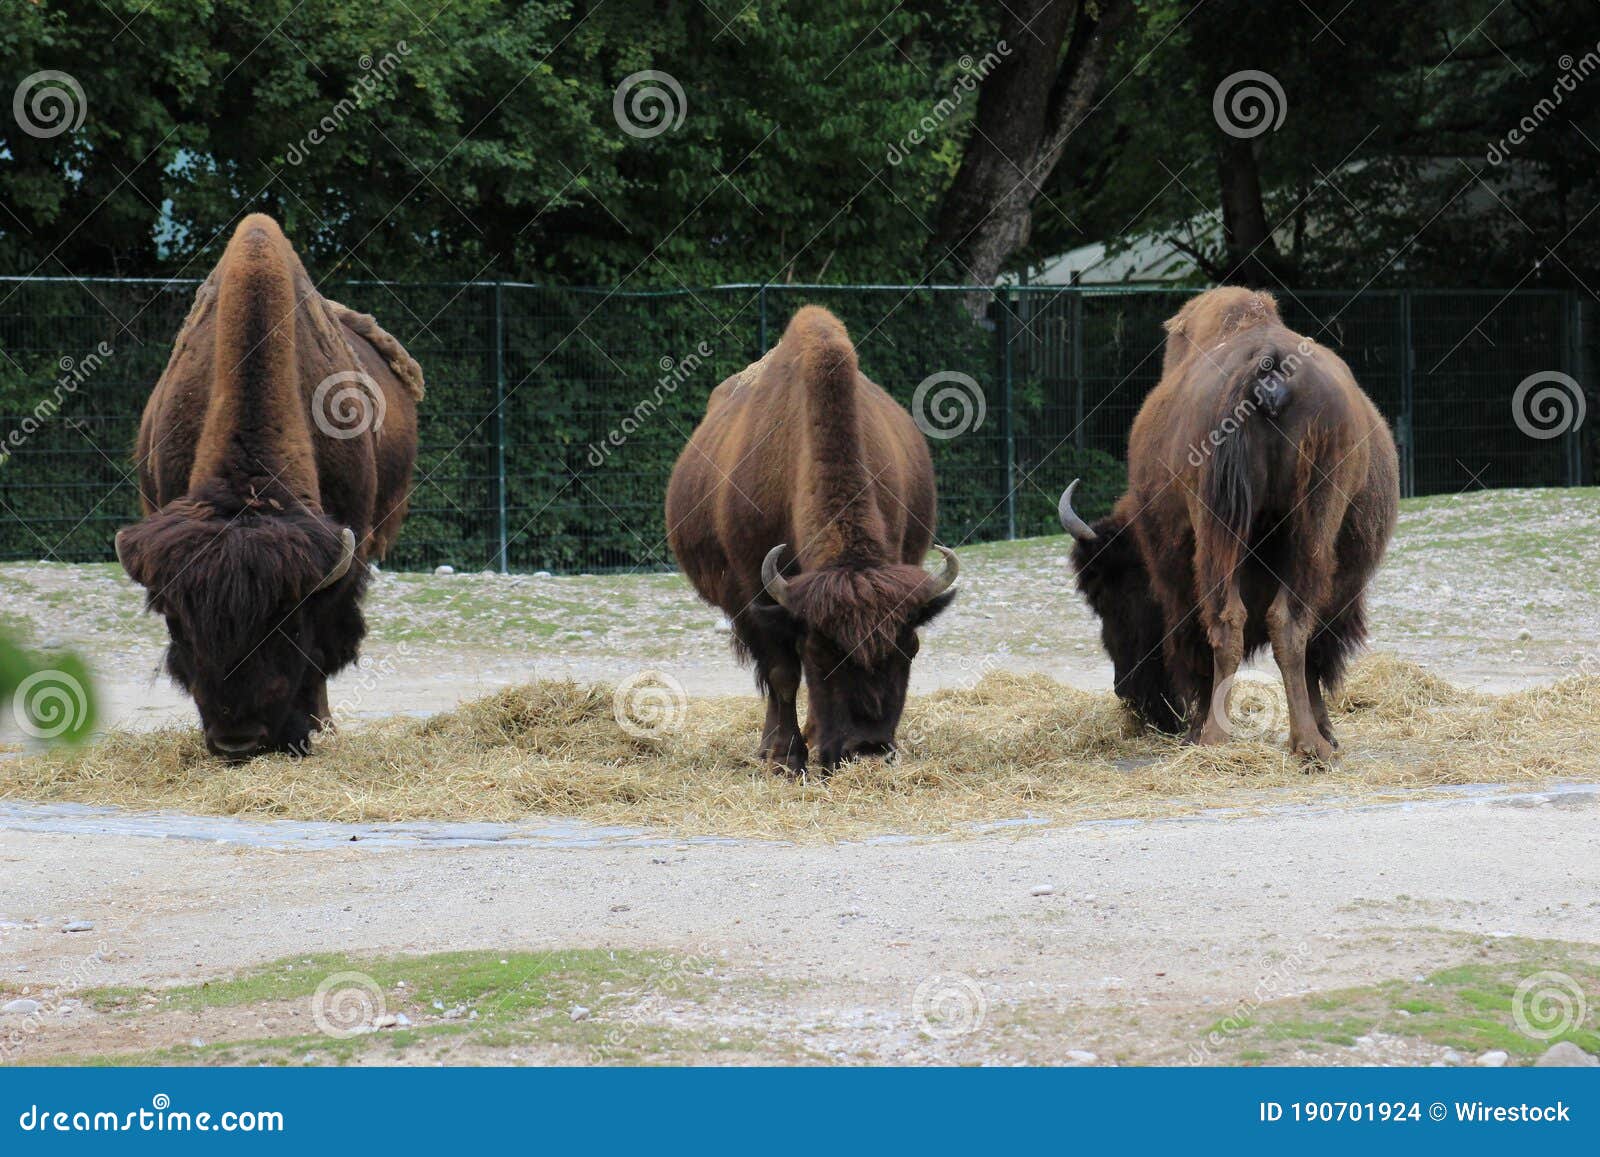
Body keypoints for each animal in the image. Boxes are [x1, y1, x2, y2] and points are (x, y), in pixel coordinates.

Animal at [665, 306, 958, 772]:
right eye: (820, 653)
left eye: (909, 648)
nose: (868, 747)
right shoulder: (756, 595)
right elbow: (782, 674)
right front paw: (786, 757)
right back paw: (771, 748)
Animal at [1059, 287, 1398, 760]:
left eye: (1109, 595)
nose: (1127, 693)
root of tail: (1266, 367)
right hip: (1299, 525)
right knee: (1276, 624)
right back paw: (1295, 744)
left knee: (1235, 622)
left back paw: (1239, 739)